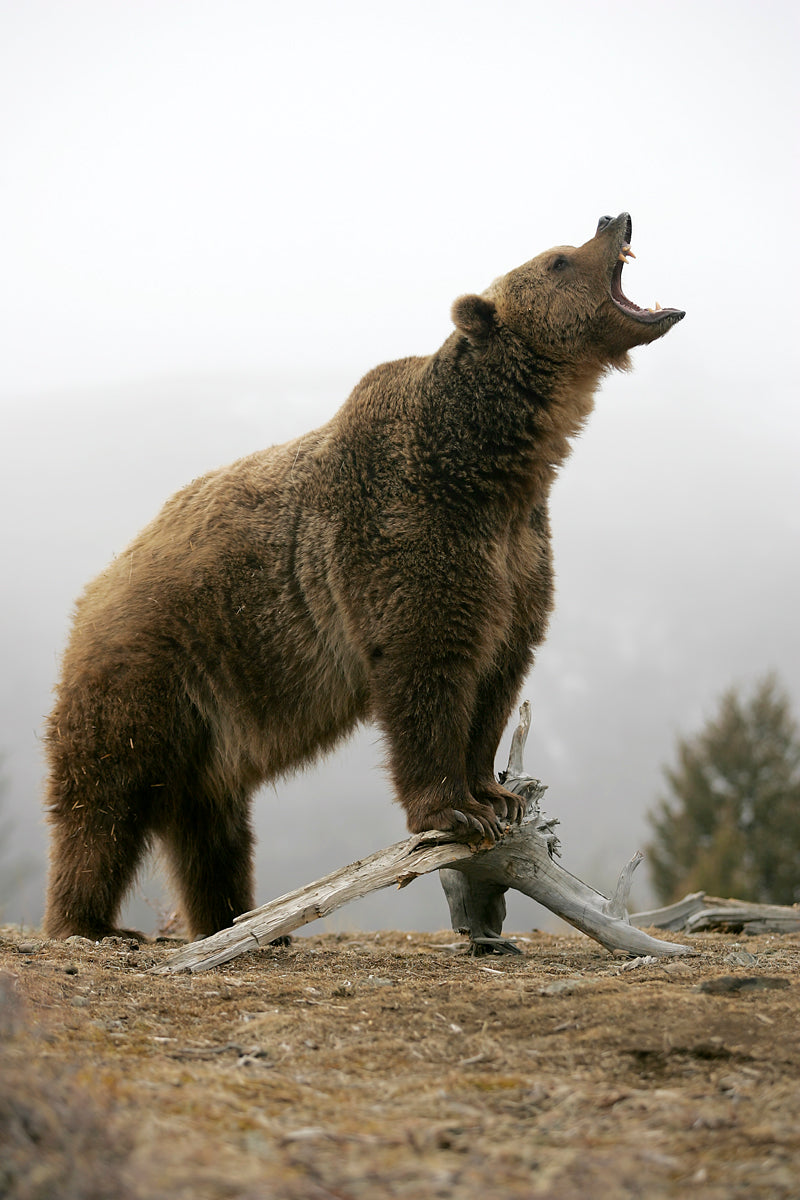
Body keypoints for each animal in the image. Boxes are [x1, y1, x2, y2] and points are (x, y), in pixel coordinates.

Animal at [43, 212, 684, 941]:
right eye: (556, 259)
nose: (613, 217)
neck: (494, 467)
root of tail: (94, 590)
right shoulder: (405, 534)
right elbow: (425, 666)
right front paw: (454, 810)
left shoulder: (517, 557)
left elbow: (498, 673)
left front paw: (496, 794)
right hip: (151, 667)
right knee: (106, 797)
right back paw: (92, 923)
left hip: (210, 721)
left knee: (212, 825)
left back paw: (236, 918)